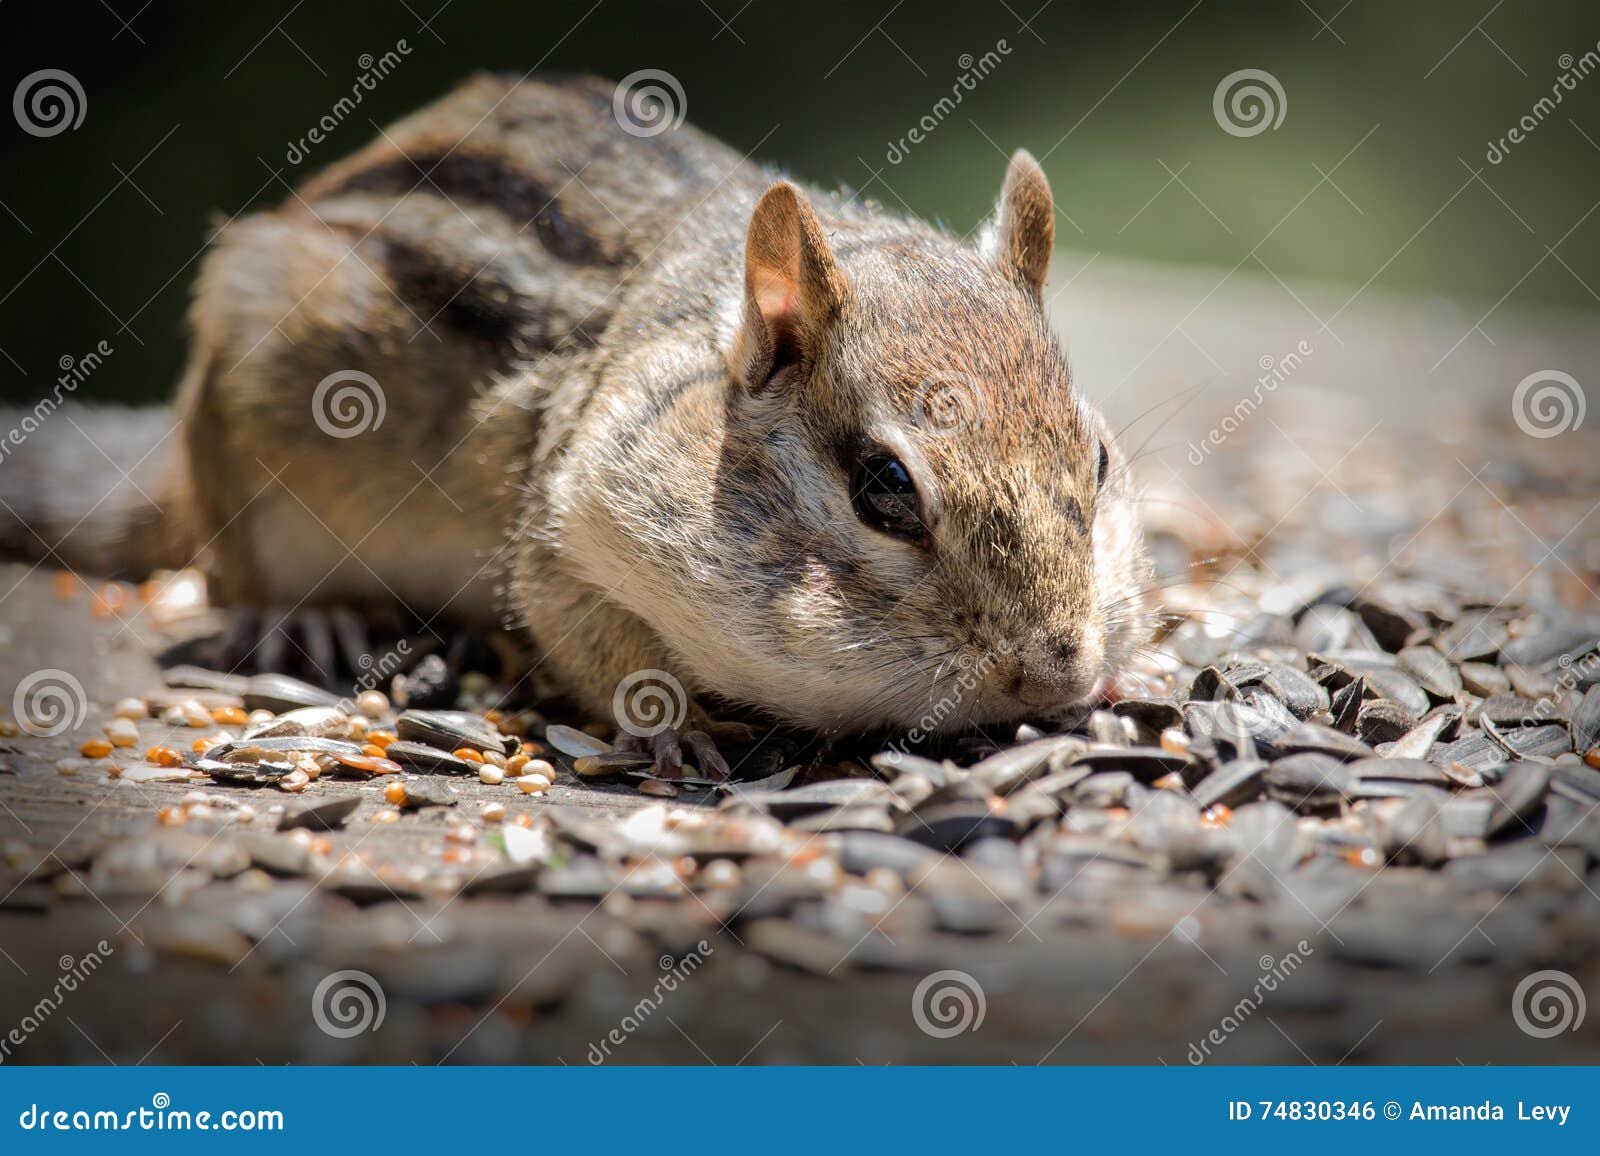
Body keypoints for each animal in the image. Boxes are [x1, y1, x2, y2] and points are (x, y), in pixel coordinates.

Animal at [2, 74, 1153, 775]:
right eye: (884, 488)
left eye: (1098, 460)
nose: (1059, 670)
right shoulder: (562, 517)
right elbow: (589, 635)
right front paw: (681, 730)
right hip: (239, 431)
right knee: (232, 568)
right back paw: (311, 618)